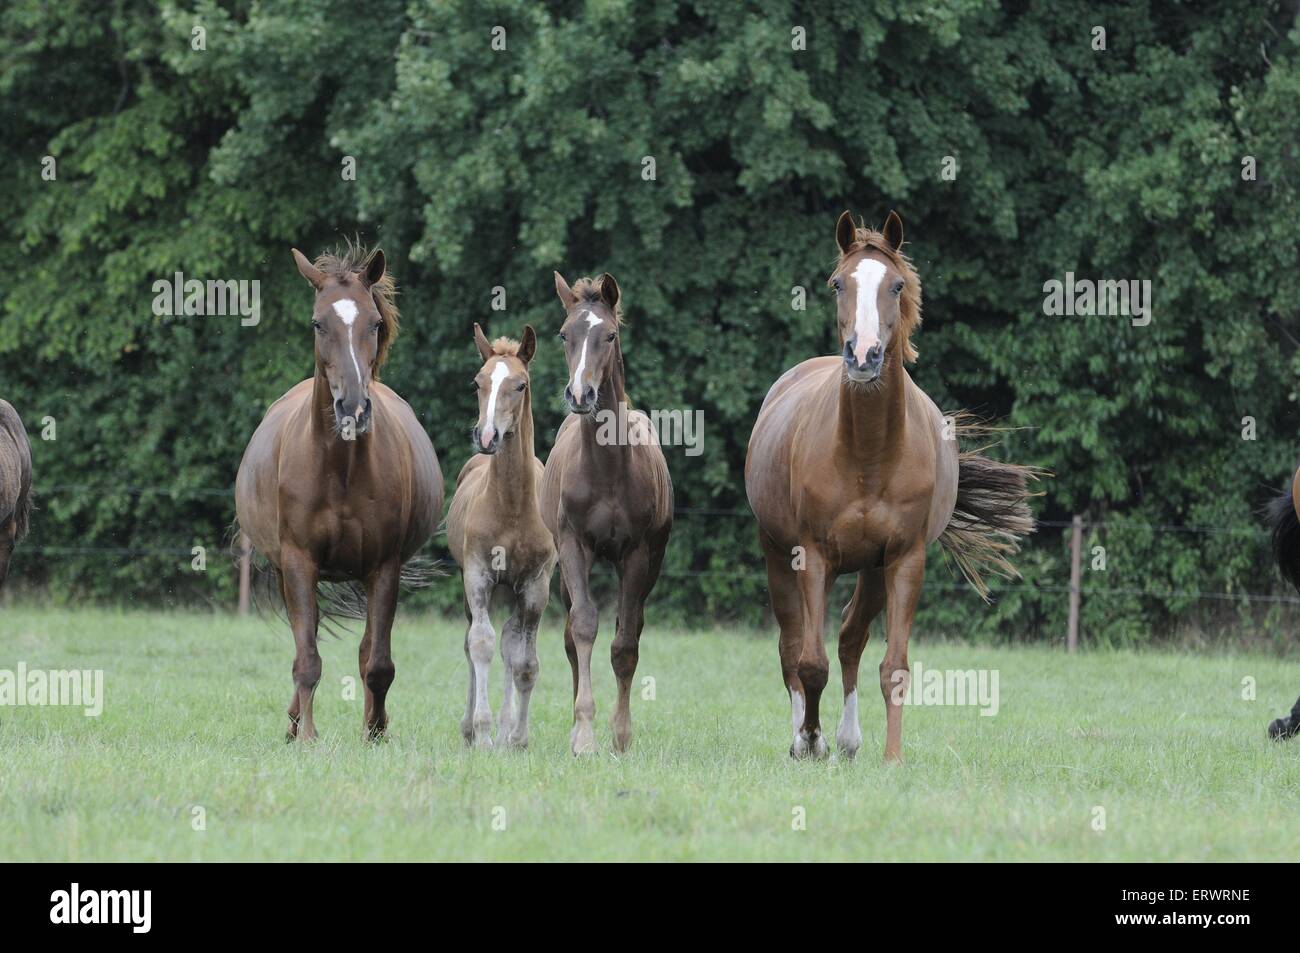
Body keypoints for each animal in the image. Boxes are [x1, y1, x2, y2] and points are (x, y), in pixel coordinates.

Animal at [234, 245, 443, 742]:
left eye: (375, 323)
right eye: (317, 323)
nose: (352, 407)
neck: (339, 469)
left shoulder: (384, 568)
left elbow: (378, 662)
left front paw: (374, 733)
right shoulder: (298, 562)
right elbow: (307, 659)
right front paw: (308, 736)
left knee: (366, 651)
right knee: (302, 641)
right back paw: (294, 724)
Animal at [446, 324, 556, 749]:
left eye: (520, 385)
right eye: (478, 382)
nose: (487, 435)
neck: (511, 506)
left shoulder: (536, 585)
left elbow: (525, 661)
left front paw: (518, 738)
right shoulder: (478, 574)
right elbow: (480, 644)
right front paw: (481, 734)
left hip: (515, 590)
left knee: (511, 641)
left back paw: (509, 726)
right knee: (473, 641)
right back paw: (472, 728)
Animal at [540, 272, 673, 755]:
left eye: (610, 335)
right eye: (565, 334)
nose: (581, 394)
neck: (608, 470)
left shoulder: (636, 555)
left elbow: (625, 643)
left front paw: (620, 735)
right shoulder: (573, 548)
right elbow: (582, 627)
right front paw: (582, 734)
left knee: (631, 627)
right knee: (568, 635)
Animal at [745, 210, 1038, 763]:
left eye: (896, 285)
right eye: (838, 283)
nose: (864, 356)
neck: (868, 452)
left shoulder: (904, 559)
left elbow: (893, 666)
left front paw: (892, 758)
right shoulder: (813, 556)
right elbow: (810, 661)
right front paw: (810, 740)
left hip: (873, 570)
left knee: (849, 637)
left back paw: (848, 739)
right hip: (779, 553)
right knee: (793, 646)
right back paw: (803, 738)